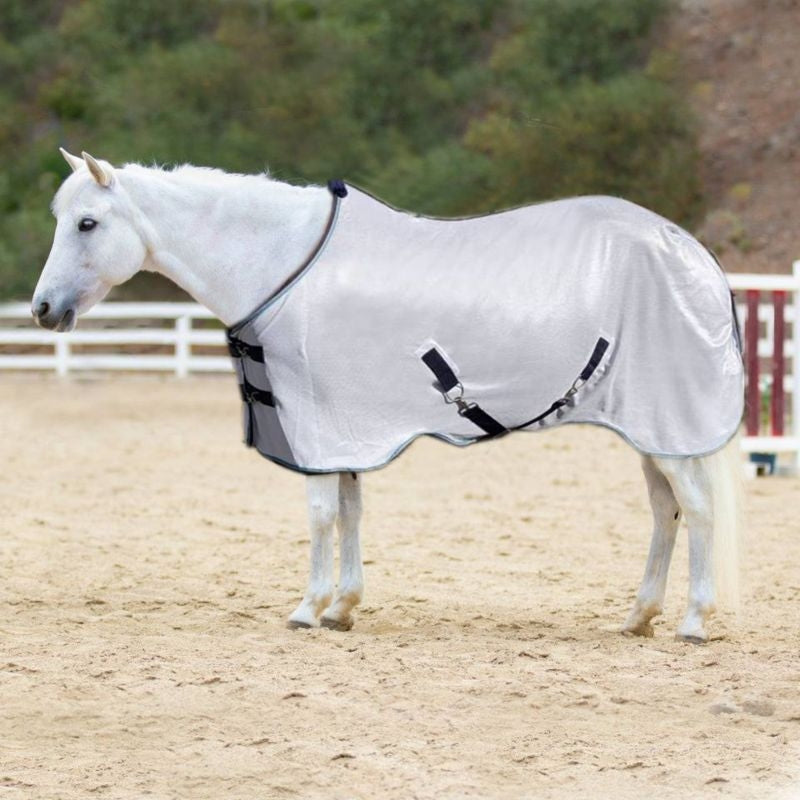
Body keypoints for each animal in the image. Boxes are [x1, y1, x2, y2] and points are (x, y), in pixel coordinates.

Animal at [32, 149, 743, 643]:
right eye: (61, 219)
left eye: (88, 223)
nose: (41, 309)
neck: (285, 261)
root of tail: (692, 254)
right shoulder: (345, 429)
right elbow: (352, 511)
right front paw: (343, 607)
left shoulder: (315, 426)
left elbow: (322, 514)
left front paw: (307, 608)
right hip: (650, 429)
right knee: (664, 512)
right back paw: (638, 617)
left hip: (669, 429)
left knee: (699, 510)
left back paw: (694, 621)